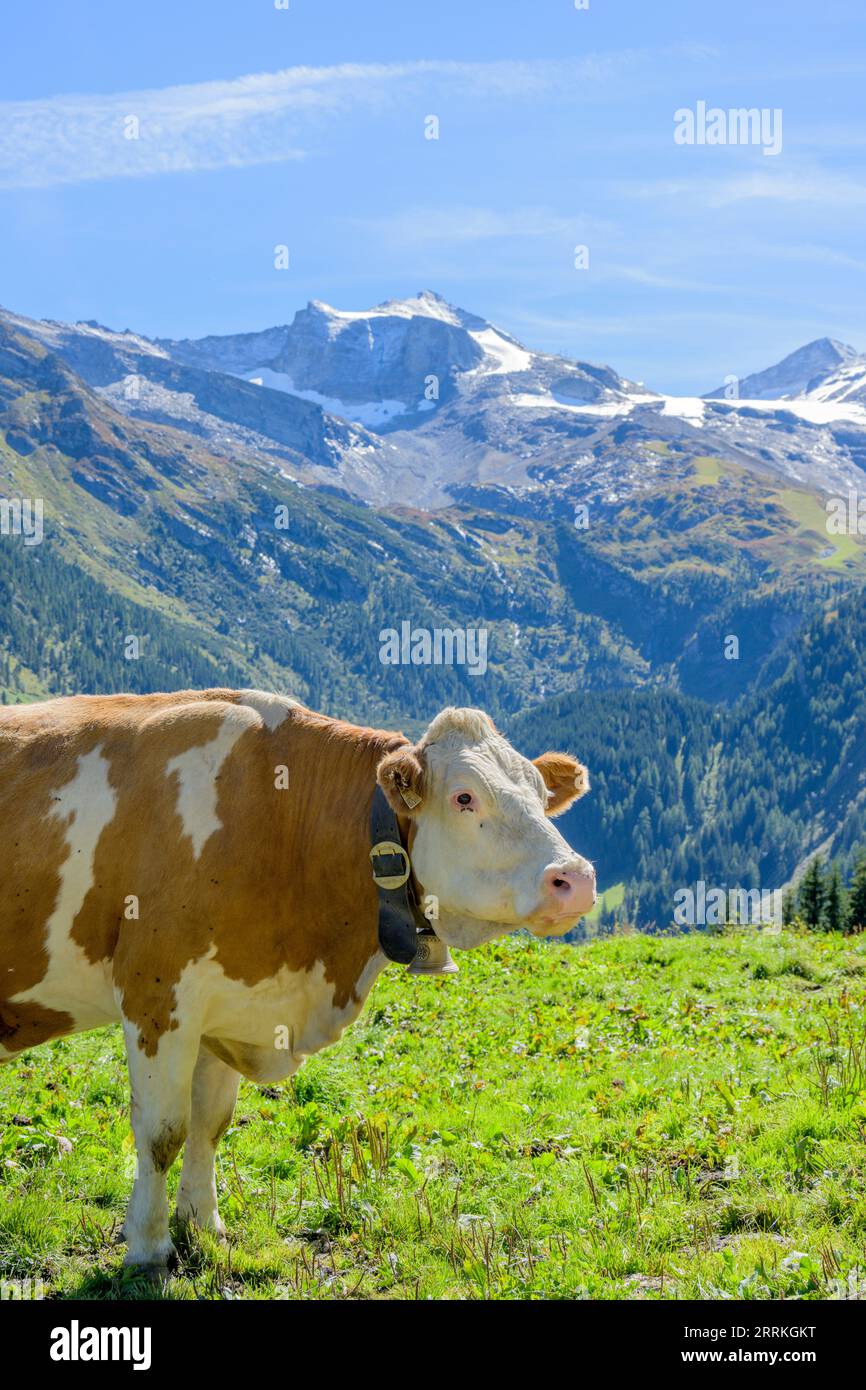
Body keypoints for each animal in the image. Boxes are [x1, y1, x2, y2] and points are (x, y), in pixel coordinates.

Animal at [0, 690, 594, 1271]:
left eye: (541, 792)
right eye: (464, 797)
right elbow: (162, 1133)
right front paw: (148, 1248)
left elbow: (209, 1123)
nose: (577, 879)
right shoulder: (157, 994)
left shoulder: (225, 1000)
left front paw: (205, 1227)